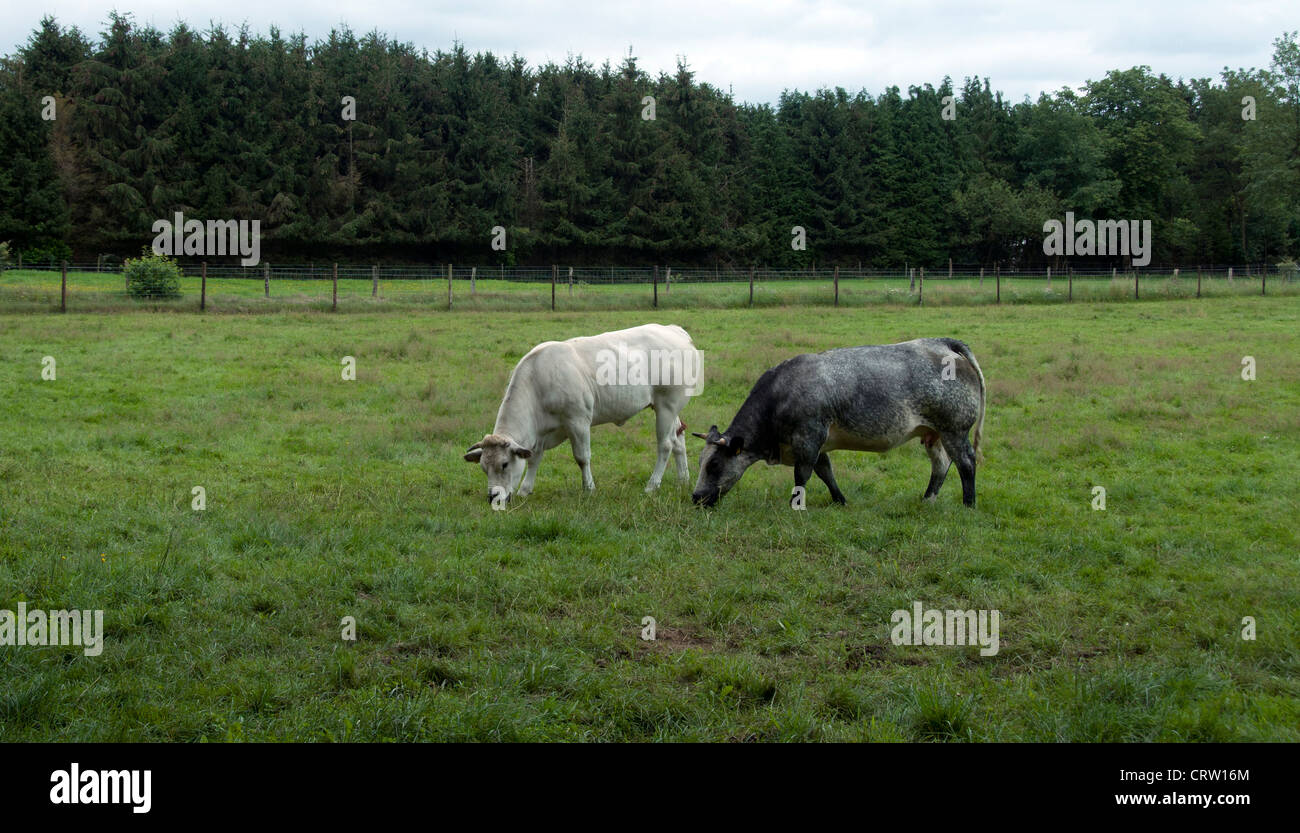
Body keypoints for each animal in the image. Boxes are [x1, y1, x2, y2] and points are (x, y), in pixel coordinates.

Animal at [465, 324, 701, 505]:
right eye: (484, 467)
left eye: (504, 464)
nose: (493, 497)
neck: (537, 381)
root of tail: (674, 330)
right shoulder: (541, 433)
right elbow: (534, 458)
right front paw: (525, 488)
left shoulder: (577, 421)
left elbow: (582, 457)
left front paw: (589, 488)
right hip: (669, 408)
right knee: (678, 439)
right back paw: (683, 480)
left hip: (666, 406)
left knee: (665, 445)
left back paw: (651, 485)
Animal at [691, 337, 985, 508]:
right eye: (700, 463)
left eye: (714, 465)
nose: (695, 497)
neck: (780, 394)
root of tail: (943, 344)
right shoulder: (816, 445)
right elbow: (826, 472)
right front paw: (840, 500)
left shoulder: (808, 438)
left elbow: (802, 475)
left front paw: (795, 505)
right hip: (934, 434)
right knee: (941, 465)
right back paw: (928, 499)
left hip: (954, 430)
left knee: (966, 463)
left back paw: (968, 503)